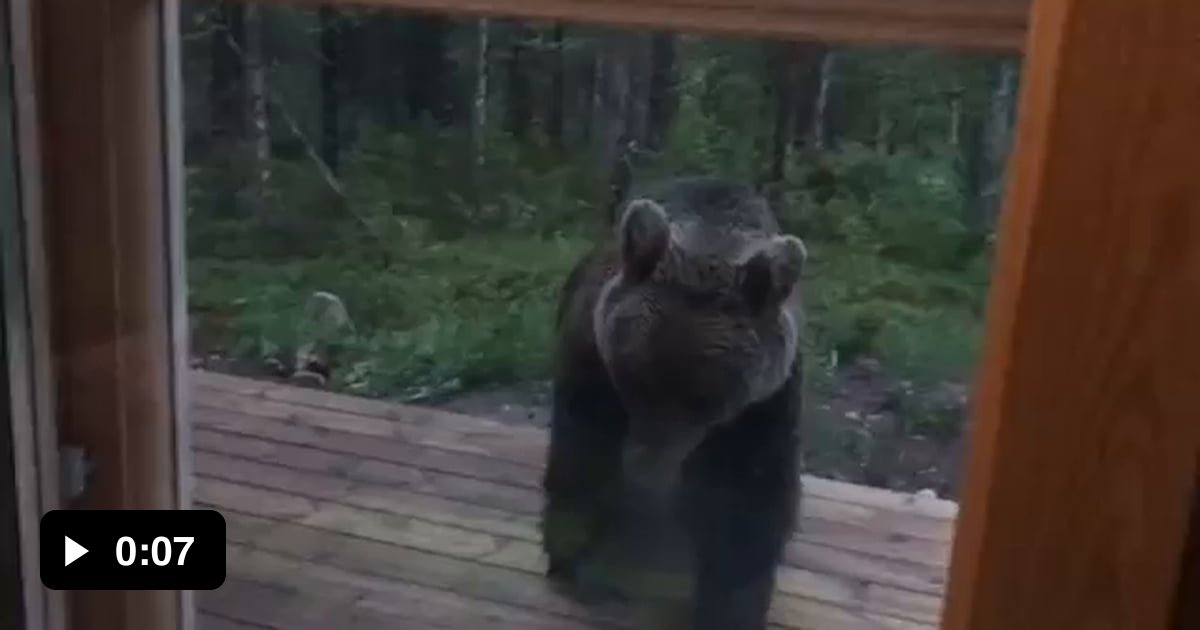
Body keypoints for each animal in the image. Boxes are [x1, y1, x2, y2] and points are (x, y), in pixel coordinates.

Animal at [541, 176, 807, 630]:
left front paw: (730, 607)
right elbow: (585, 446)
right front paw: (576, 556)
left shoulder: (766, 401)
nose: (646, 468)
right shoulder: (593, 354)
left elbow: (750, 491)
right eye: (636, 377)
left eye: (707, 400)